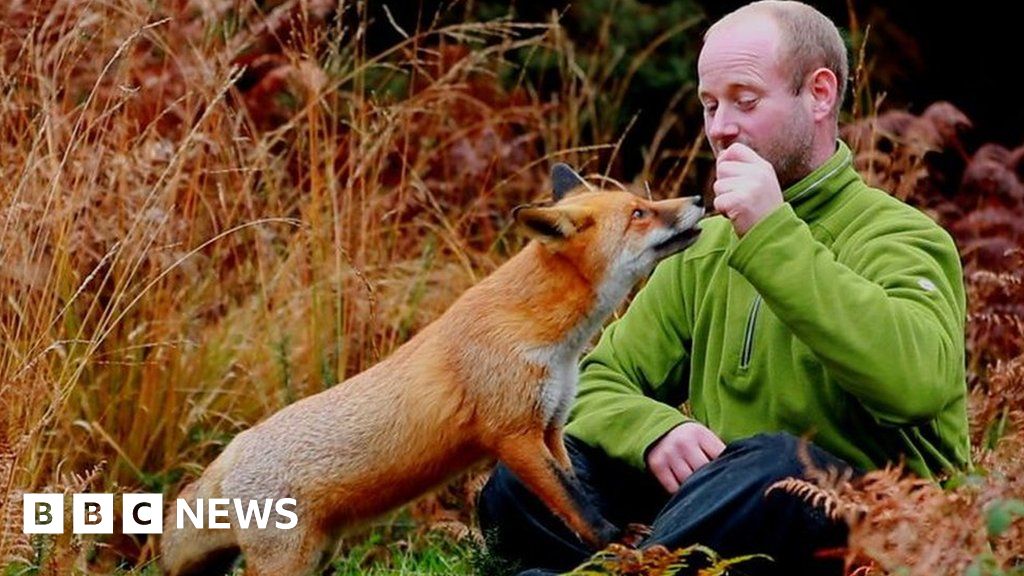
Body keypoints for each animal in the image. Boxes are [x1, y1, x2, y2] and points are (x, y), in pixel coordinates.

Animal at [160, 163, 705, 576]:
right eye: (639, 213)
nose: (699, 196)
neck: (548, 341)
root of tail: (227, 455)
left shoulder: (551, 426)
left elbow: (576, 493)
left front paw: (616, 535)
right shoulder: (514, 435)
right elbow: (575, 503)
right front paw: (614, 543)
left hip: (319, 555)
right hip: (288, 563)